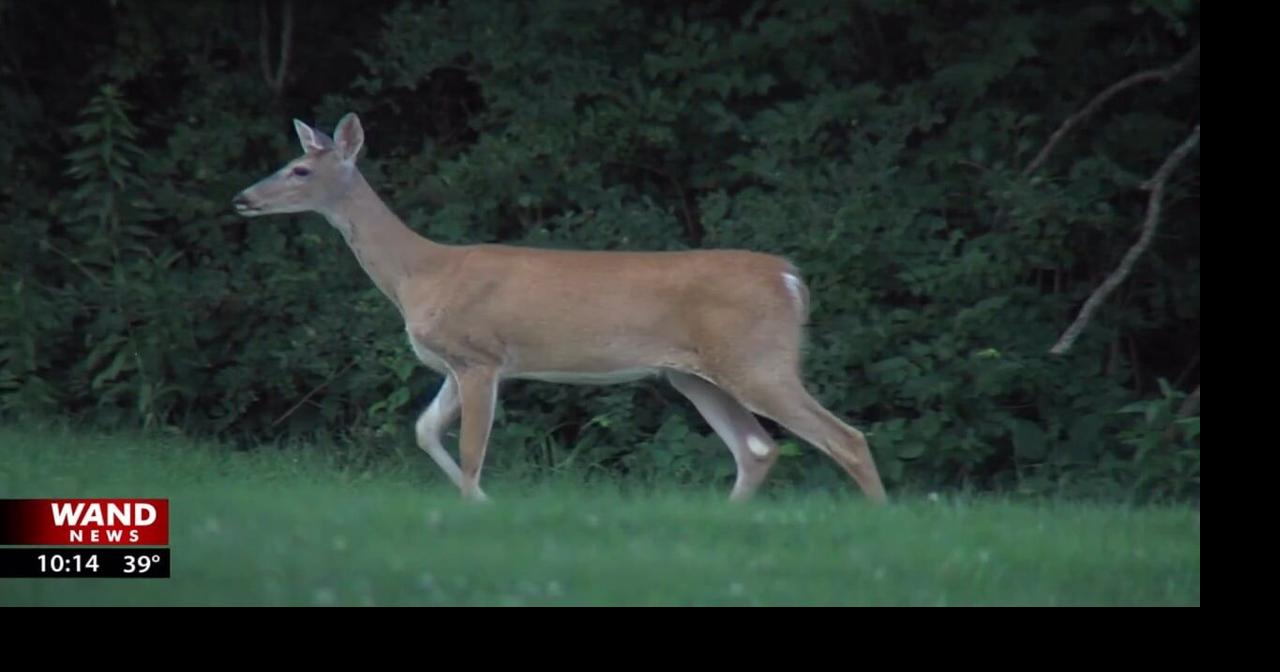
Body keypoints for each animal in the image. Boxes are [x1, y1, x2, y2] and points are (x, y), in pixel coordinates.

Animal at [232, 113, 888, 504]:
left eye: (299, 168)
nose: (242, 199)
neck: (421, 273)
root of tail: (790, 278)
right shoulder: (454, 364)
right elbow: (422, 430)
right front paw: (483, 506)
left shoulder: (480, 355)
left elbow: (470, 449)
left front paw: (476, 506)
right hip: (694, 374)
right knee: (758, 448)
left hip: (757, 358)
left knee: (845, 437)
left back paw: (875, 519)